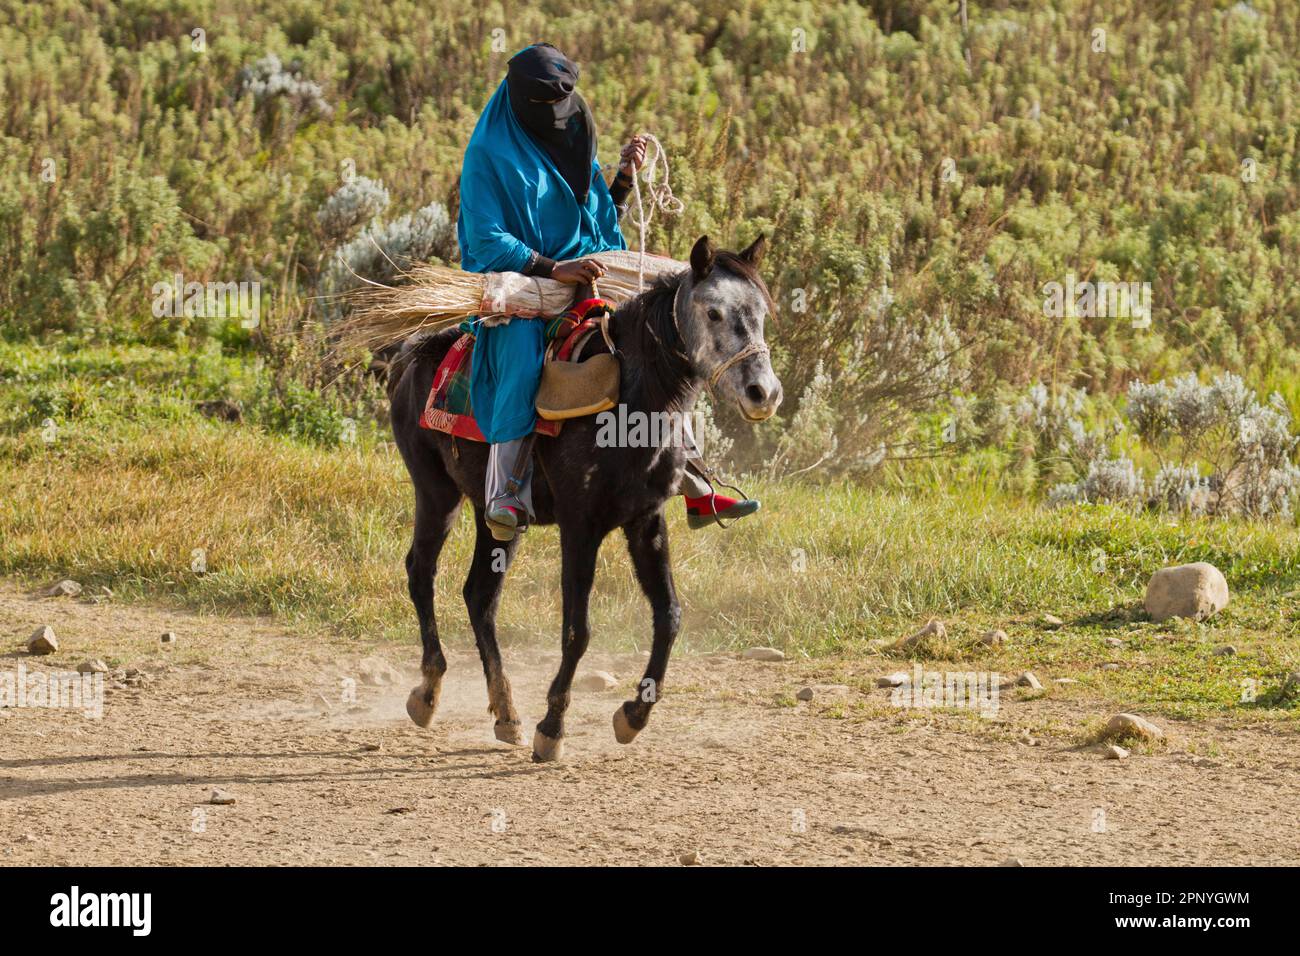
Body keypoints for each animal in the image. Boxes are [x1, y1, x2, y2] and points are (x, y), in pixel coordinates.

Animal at [387, 234, 783, 762]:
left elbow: (670, 616)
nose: (764, 393)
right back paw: (429, 693)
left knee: (479, 595)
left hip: (496, 517)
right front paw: (552, 726)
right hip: (436, 493)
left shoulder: (646, 521)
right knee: (421, 572)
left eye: (760, 312)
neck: (632, 404)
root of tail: (411, 354)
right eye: (714, 312)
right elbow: (577, 631)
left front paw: (633, 715)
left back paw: (506, 712)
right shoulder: (580, 526)